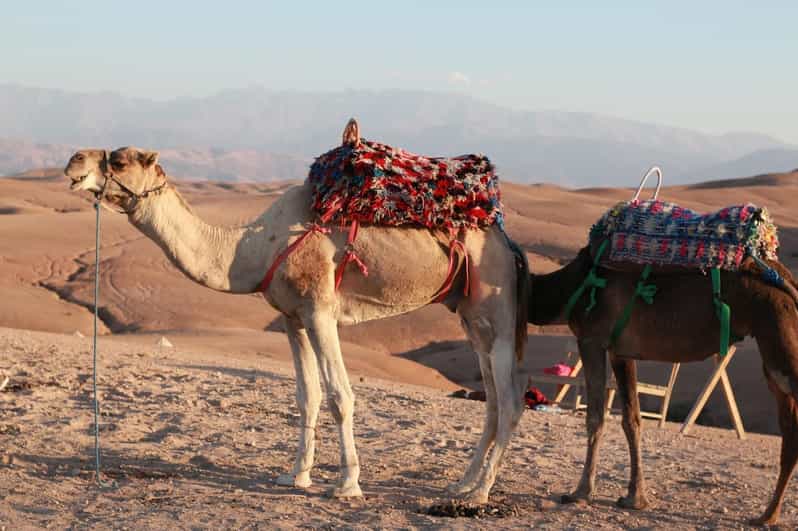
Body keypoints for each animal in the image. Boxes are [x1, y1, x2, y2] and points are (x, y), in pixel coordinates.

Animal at [64, 144, 529, 502]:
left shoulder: (320, 310)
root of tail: (507, 241)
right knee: (491, 398)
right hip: (470, 314)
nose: (73, 161)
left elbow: (341, 395)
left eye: (120, 160)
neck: (254, 248)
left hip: (496, 304)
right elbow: (307, 396)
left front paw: (347, 484)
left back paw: (481, 491)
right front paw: (296, 475)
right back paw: (462, 484)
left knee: (510, 399)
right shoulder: (293, 318)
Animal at [528, 245, 798, 525]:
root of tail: (787, 279)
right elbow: (632, 419)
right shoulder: (620, 351)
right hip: (773, 352)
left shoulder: (591, 339)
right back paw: (768, 515)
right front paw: (635, 498)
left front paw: (580, 493)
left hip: (778, 334)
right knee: (790, 431)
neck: (571, 285)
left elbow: (595, 417)